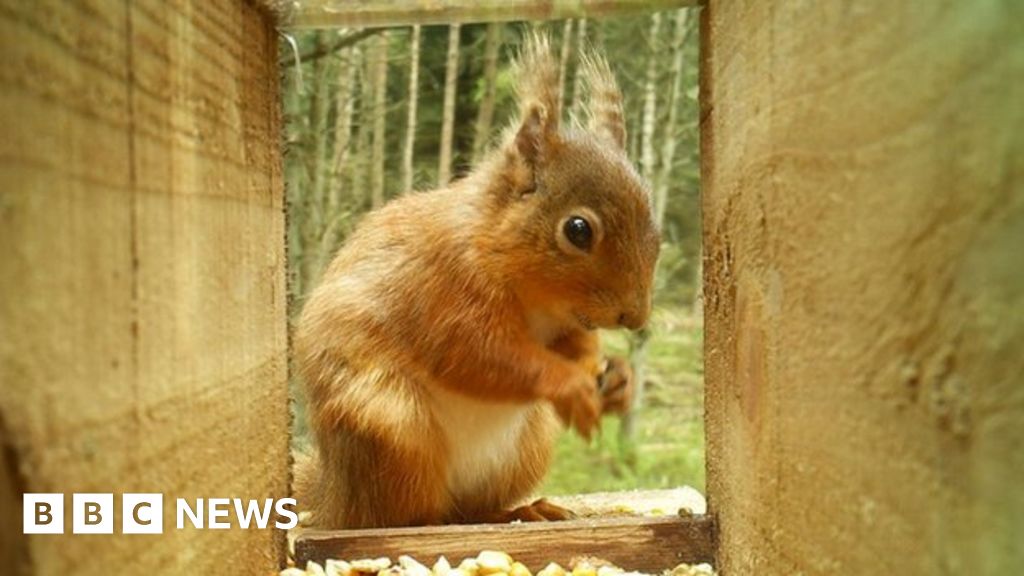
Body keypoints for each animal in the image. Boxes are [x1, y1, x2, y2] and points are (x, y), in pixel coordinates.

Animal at [294, 34, 659, 529]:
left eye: (654, 223)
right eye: (578, 230)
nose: (635, 317)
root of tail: (333, 495)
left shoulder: (563, 324)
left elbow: (573, 345)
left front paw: (617, 379)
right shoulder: (442, 285)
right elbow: (481, 355)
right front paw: (573, 386)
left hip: (525, 444)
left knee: (472, 508)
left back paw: (522, 509)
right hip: (393, 424)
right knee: (402, 513)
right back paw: (426, 522)